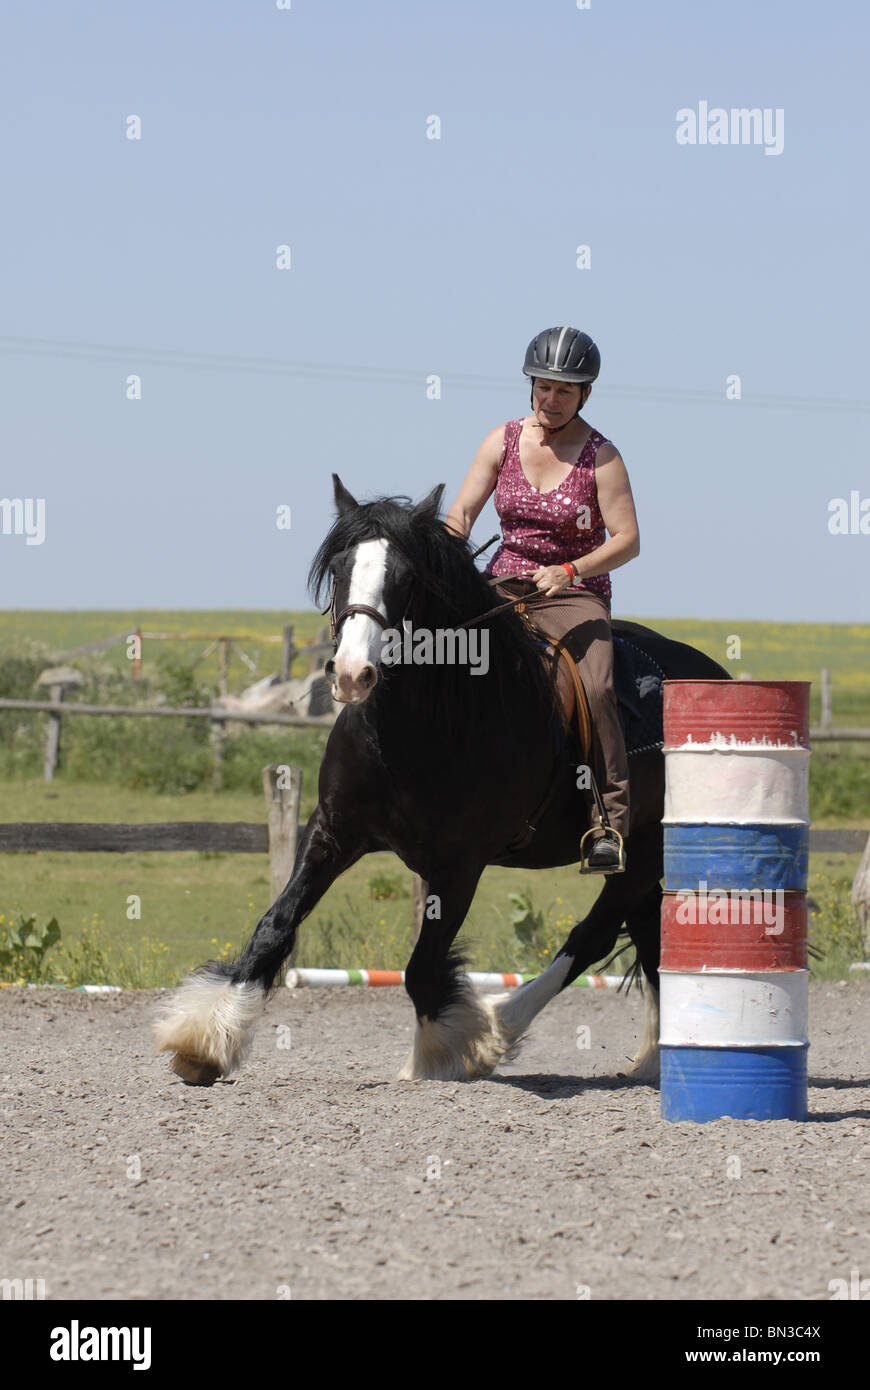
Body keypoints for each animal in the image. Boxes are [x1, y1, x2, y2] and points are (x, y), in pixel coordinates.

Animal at [154, 475, 728, 1085]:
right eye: (338, 567)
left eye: (406, 577)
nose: (351, 675)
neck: (417, 729)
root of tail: (715, 673)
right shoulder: (333, 832)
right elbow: (275, 926)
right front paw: (206, 1038)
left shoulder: (459, 865)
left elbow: (424, 968)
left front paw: (448, 1051)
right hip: (645, 854)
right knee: (643, 932)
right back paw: (653, 1058)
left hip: (639, 850)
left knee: (594, 932)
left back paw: (505, 1024)